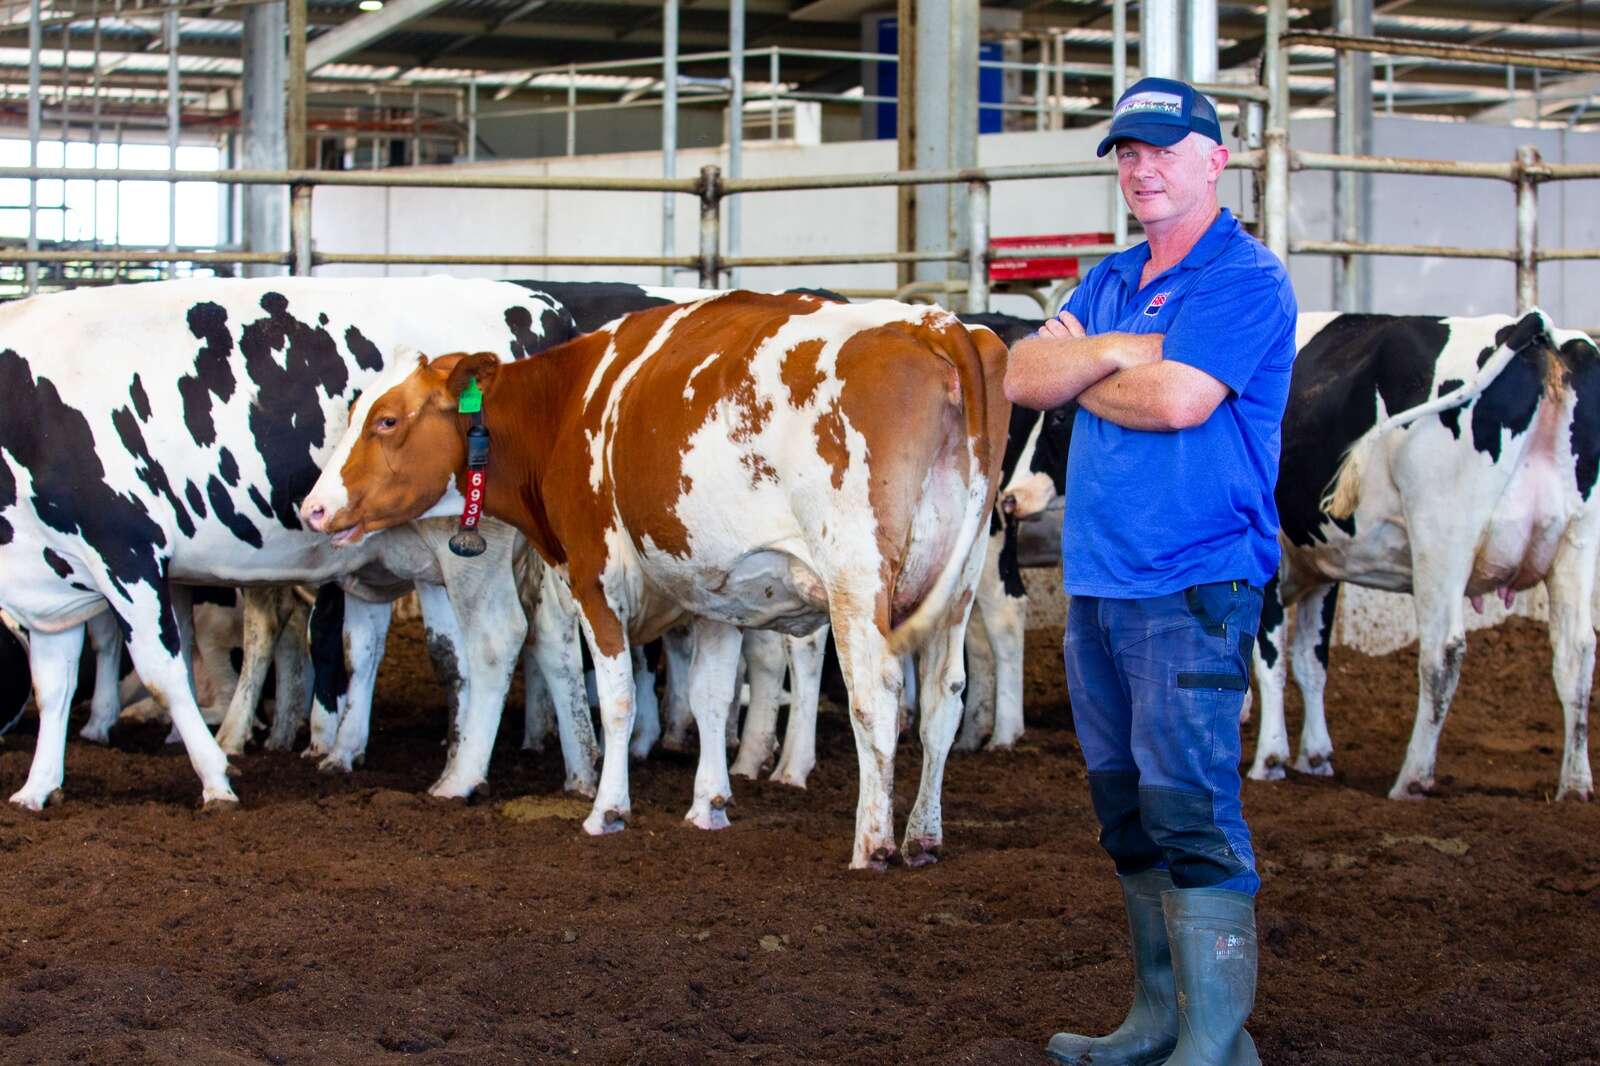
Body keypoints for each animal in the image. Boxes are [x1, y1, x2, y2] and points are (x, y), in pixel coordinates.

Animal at [301, 291, 1009, 868]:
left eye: (387, 420)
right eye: (353, 413)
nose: (313, 508)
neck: (566, 407)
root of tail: (939, 326)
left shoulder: (594, 576)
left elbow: (618, 701)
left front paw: (607, 810)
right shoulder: (718, 595)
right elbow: (710, 697)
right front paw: (709, 805)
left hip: (857, 581)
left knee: (877, 698)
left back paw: (874, 844)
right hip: (958, 581)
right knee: (944, 696)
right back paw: (923, 836)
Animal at [1249, 310, 1599, 802]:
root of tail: (1543, 333)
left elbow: (1270, 659)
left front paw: (1270, 759)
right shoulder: (1321, 564)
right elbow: (1310, 661)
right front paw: (1314, 758)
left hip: (1442, 536)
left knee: (1442, 651)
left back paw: (1411, 779)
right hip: (1577, 539)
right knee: (1576, 651)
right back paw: (1575, 784)